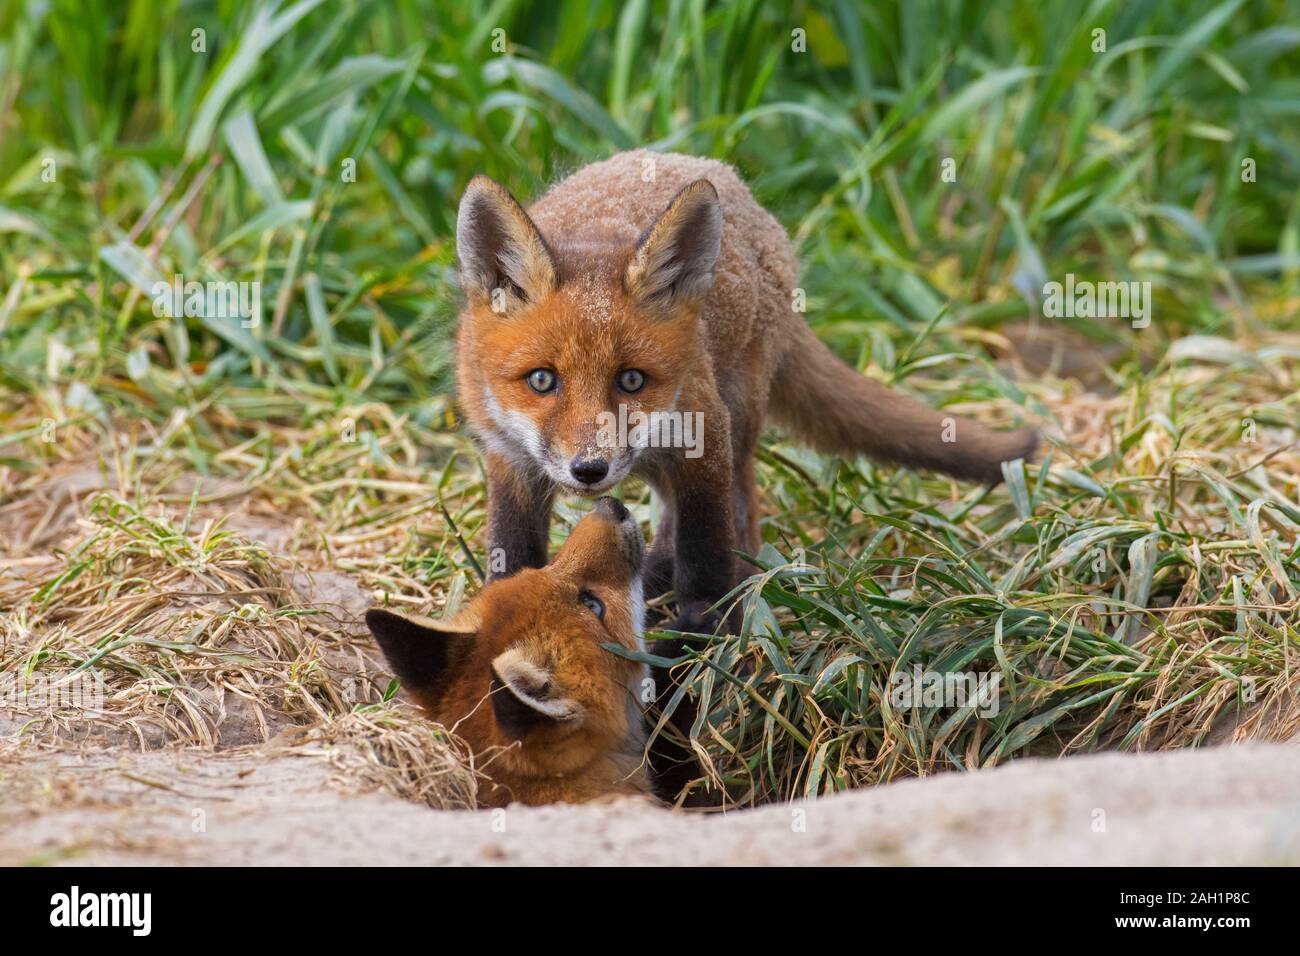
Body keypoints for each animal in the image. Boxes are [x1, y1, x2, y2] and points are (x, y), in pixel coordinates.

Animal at [455, 149, 1037, 631]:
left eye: (631, 380)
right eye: (542, 380)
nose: (589, 470)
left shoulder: (704, 431)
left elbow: (707, 549)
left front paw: (703, 636)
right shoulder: (509, 454)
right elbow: (511, 546)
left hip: (738, 416)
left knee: (740, 516)